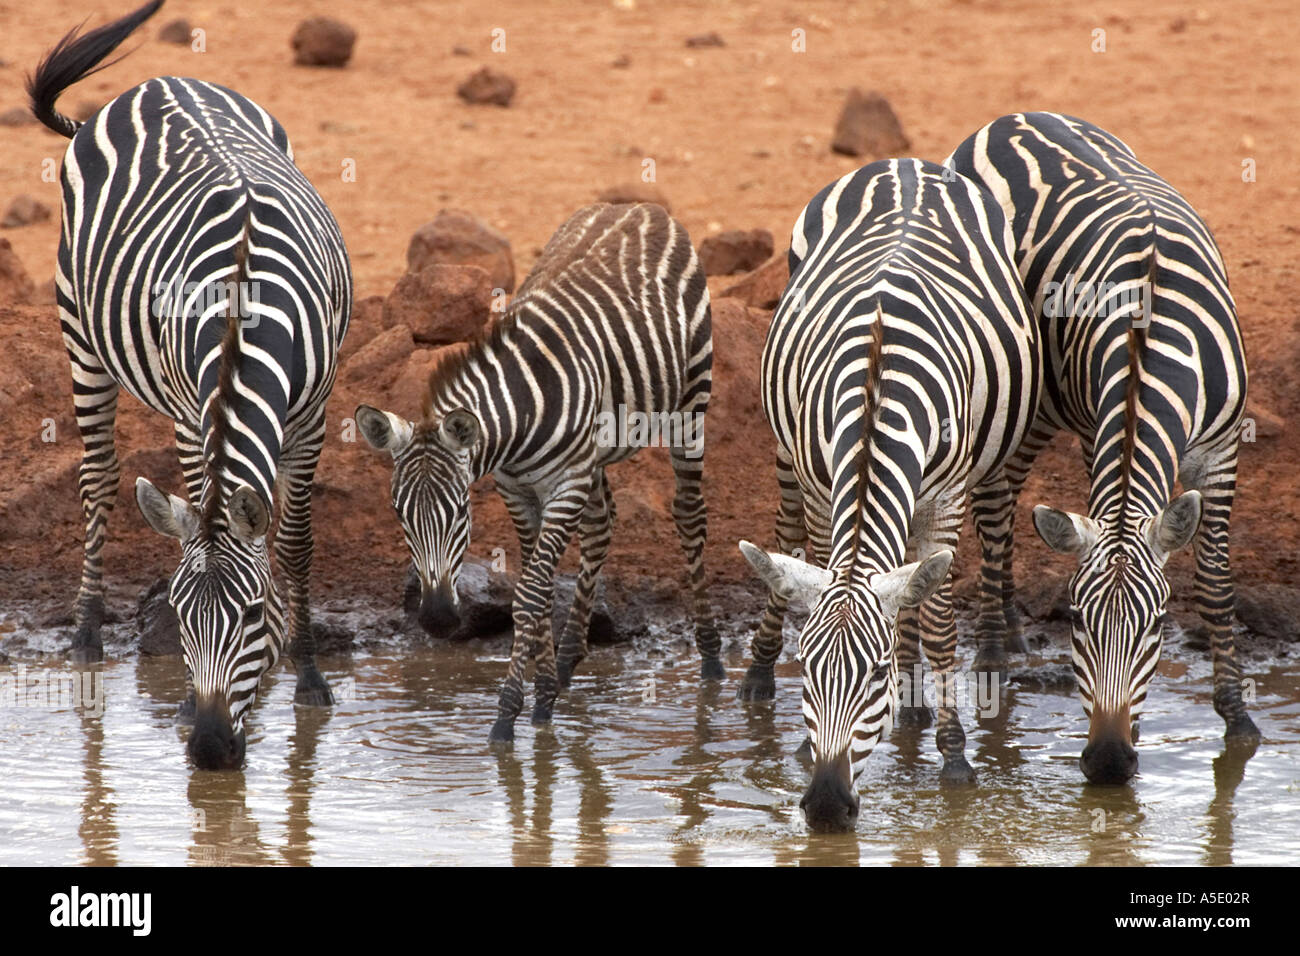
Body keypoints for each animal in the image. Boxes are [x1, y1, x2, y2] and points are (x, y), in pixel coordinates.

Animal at [30, 0, 352, 769]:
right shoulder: (187, 409)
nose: (208, 749)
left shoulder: (314, 416)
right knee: (97, 477)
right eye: (177, 615)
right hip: (78, 329)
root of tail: (158, 80)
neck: (244, 313)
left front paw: (305, 675)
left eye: (253, 614)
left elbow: (294, 542)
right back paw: (86, 635)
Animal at [356, 202, 718, 743]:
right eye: (399, 515)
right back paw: (569, 660)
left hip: (690, 402)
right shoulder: (518, 490)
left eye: (460, 512)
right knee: (601, 527)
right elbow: (540, 588)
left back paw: (712, 659)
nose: (438, 621)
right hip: (594, 456)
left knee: (689, 515)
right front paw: (544, 695)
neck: (521, 414)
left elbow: (529, 595)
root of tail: (637, 206)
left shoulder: (564, 484)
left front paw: (508, 715)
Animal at [738, 158, 1042, 830]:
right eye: (809, 672)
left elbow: (938, 622)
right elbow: (814, 562)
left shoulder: (945, 498)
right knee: (787, 535)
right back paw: (759, 673)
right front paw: (802, 744)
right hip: (787, 448)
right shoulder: (821, 488)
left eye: (872, 675)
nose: (827, 804)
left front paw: (954, 755)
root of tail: (905, 165)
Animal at [946, 111, 1259, 784]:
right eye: (1076, 622)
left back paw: (1013, 630)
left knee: (1010, 494)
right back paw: (992, 652)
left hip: (1041, 404)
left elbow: (1217, 583)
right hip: (1016, 390)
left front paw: (1238, 718)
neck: (1152, 337)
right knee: (992, 506)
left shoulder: (1222, 450)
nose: (1110, 762)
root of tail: (1014, 116)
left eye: (1159, 625)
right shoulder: (1101, 432)